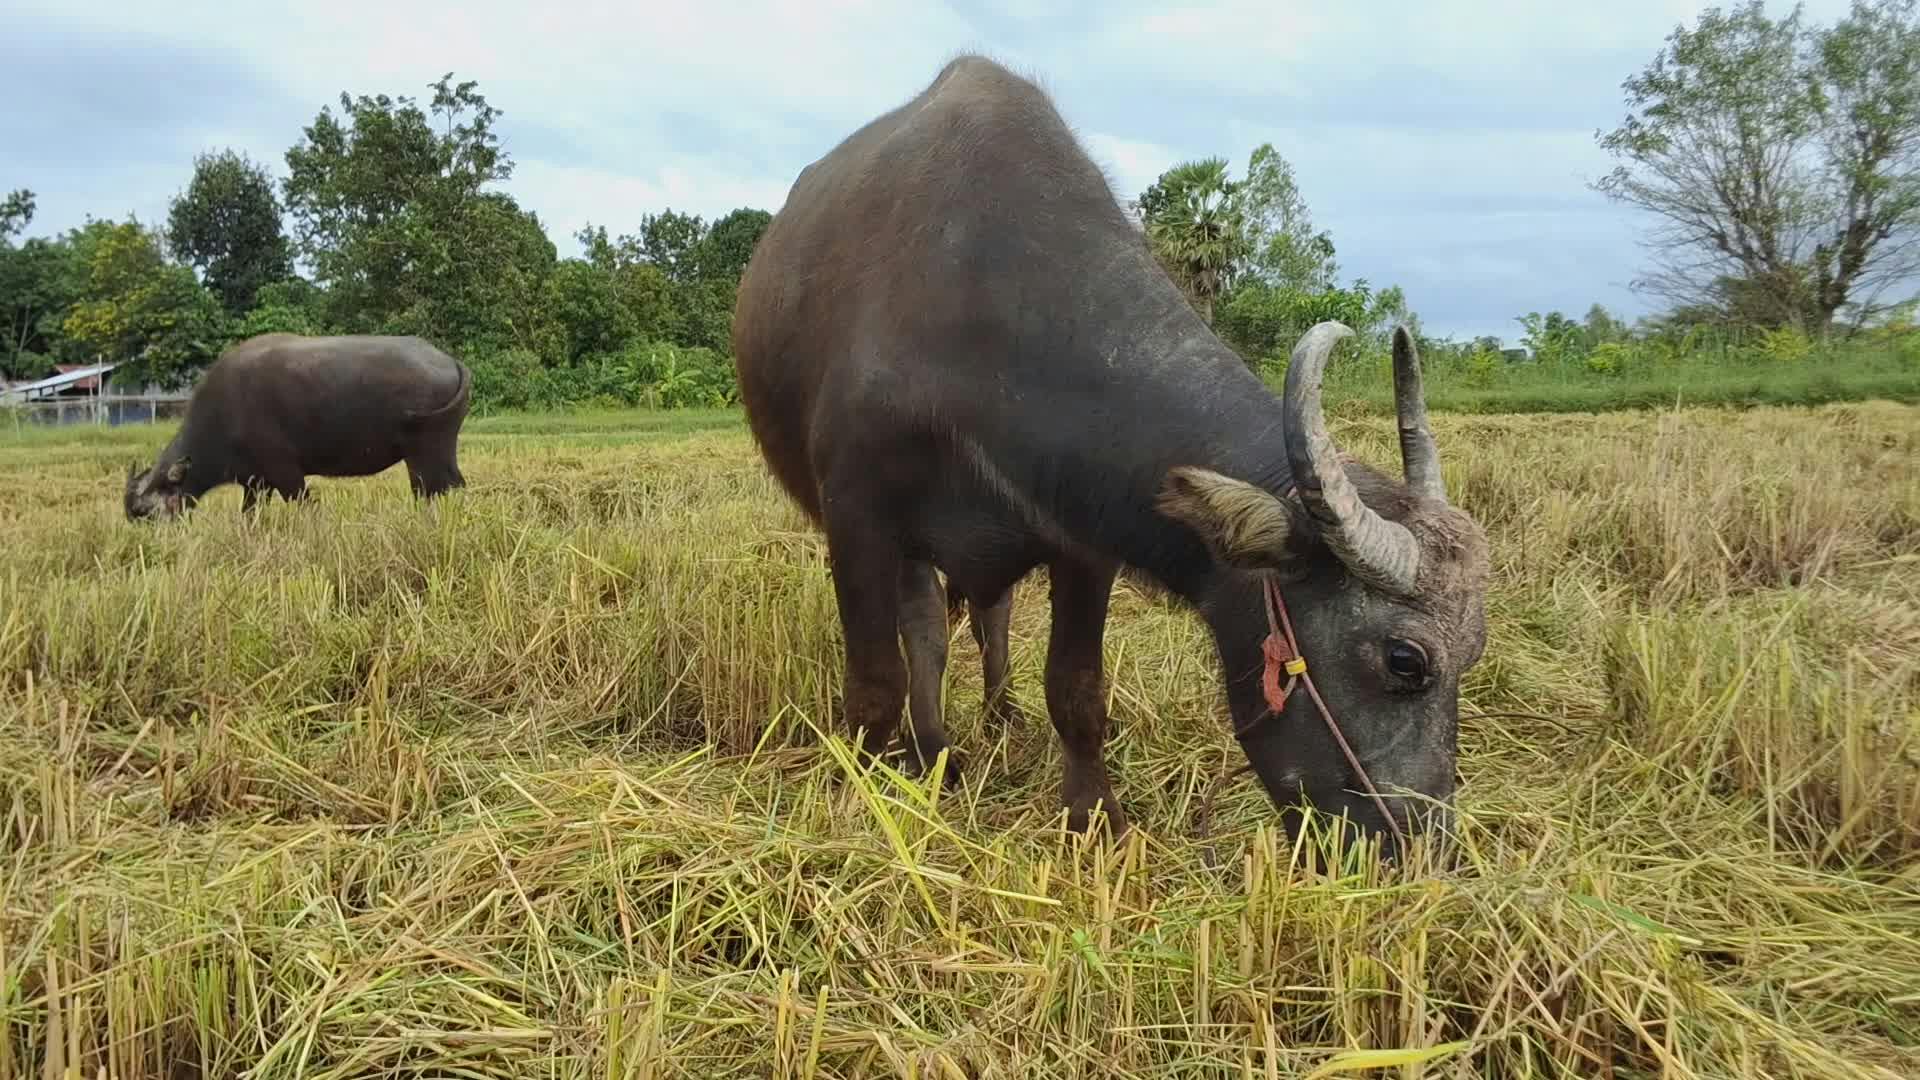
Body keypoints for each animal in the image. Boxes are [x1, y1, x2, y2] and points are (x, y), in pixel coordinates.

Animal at [124, 333, 471, 521]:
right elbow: (249, 514)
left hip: (425, 455)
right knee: (452, 486)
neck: (222, 413)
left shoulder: (285, 473)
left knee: (433, 490)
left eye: (144, 512)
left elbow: (305, 506)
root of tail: (450, 362)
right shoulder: (256, 482)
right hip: (438, 453)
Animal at [733, 56, 1491, 856]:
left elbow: (1076, 689)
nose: (1425, 849)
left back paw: (988, 722)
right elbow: (875, 682)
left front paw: (1096, 817)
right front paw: (860, 796)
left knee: (977, 618)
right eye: (1406, 661)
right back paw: (932, 748)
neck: (978, 309)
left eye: (1473, 653)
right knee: (926, 631)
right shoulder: (856, 521)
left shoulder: (1083, 535)